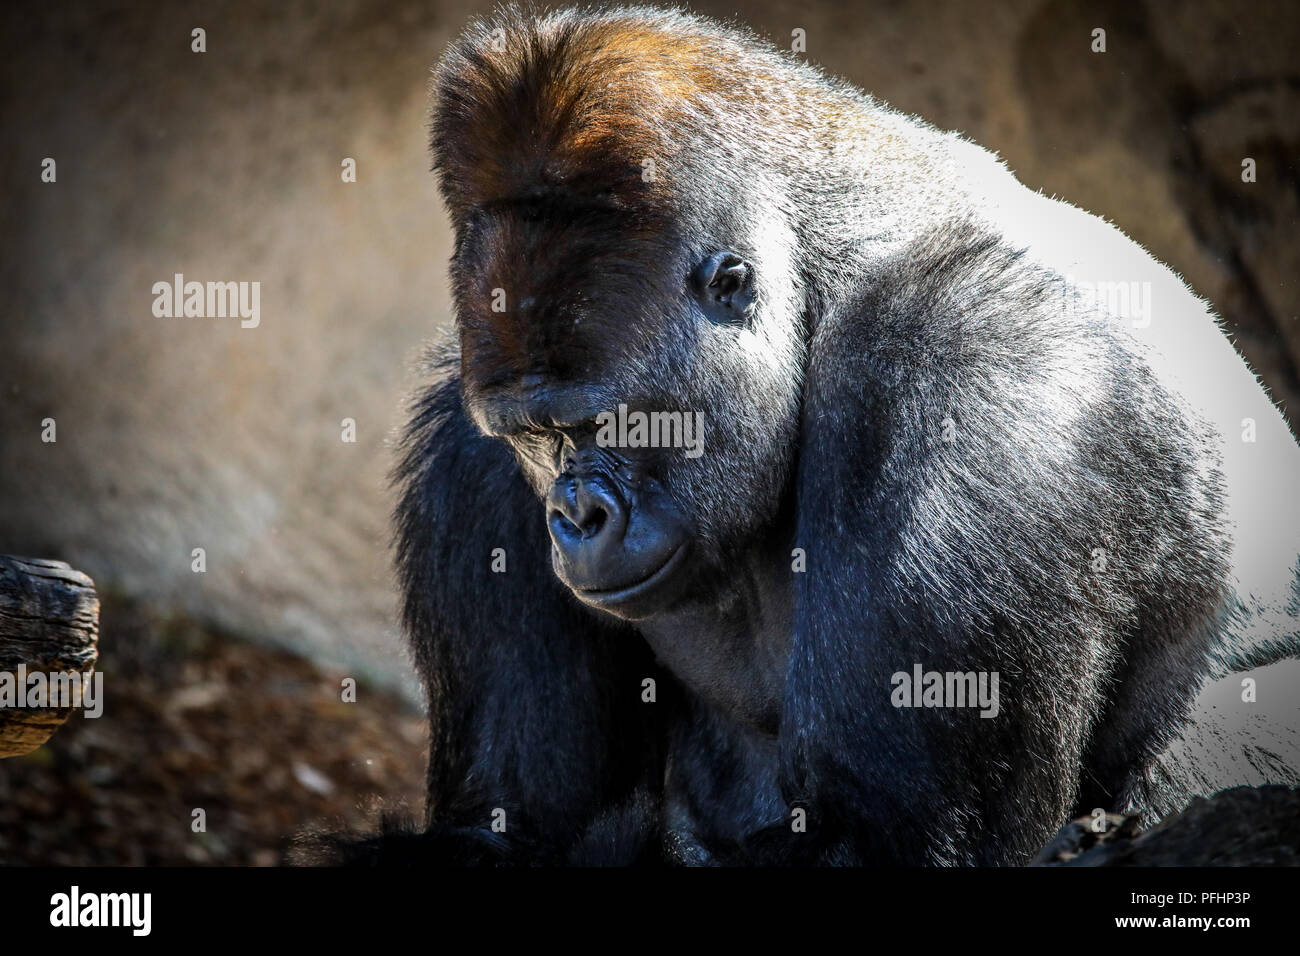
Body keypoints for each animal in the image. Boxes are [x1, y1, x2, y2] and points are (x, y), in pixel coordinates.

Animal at [311, 4, 1300, 866]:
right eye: (540, 437)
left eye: (601, 422)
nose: (574, 514)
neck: (821, 274)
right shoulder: (466, 451)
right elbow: (510, 828)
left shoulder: (977, 369)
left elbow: (884, 835)